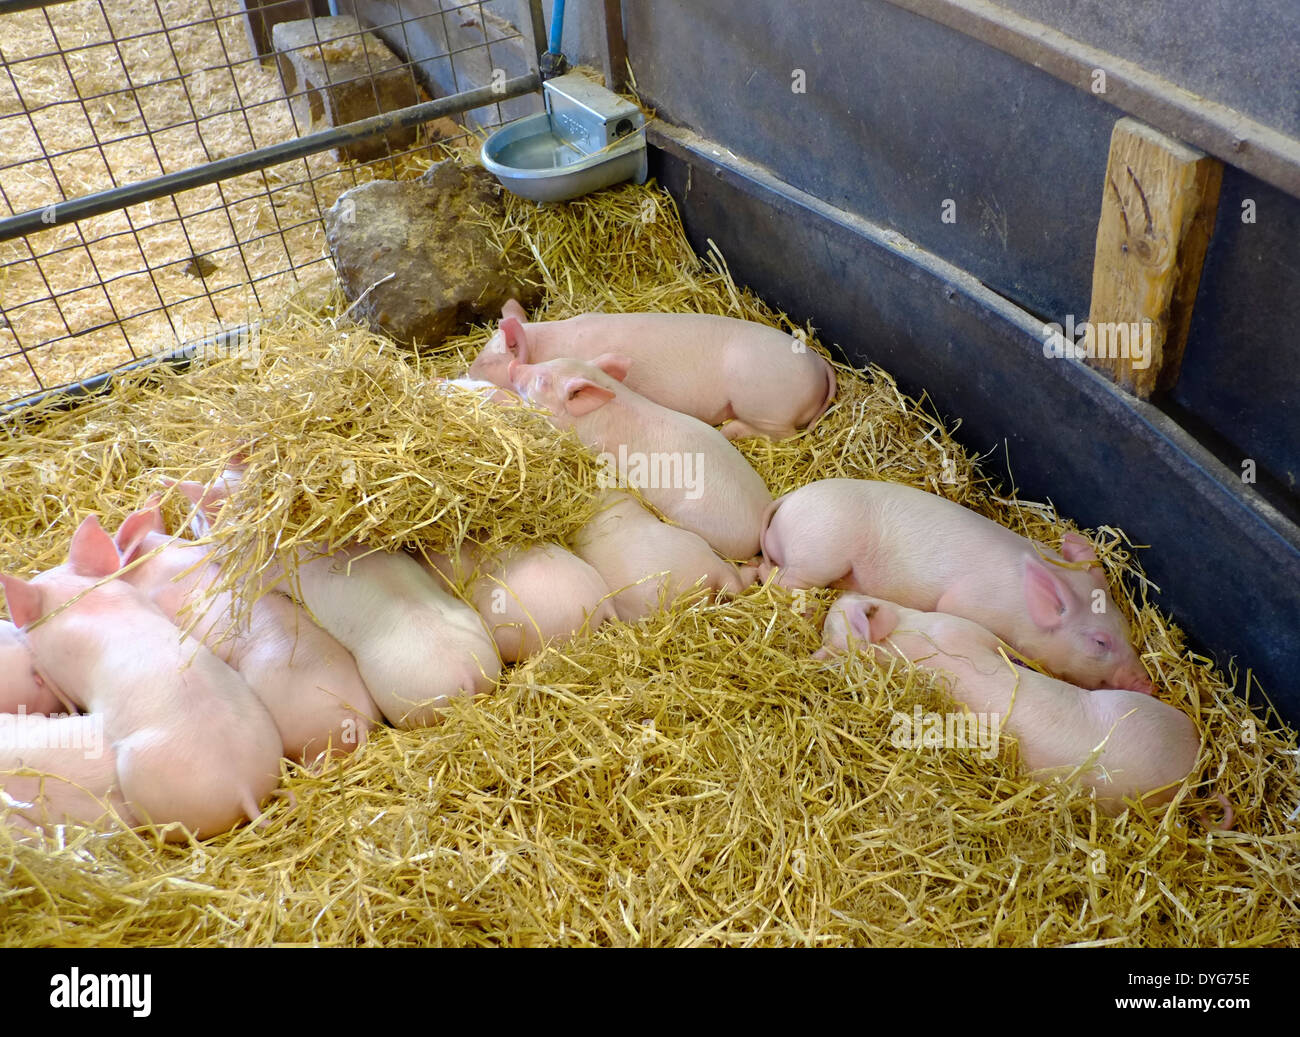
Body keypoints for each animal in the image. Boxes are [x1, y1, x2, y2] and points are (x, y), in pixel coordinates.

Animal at [469, 300, 837, 440]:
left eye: (485, 362)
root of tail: (820, 365)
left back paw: (730, 429)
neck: (545, 345)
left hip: (765, 404)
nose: (467, 374)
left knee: (783, 434)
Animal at [760, 478, 1152, 692]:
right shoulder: (968, 604)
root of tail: (787, 500)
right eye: (1100, 642)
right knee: (780, 580)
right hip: (819, 552)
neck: (1020, 608)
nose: (1147, 683)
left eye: (1125, 630)